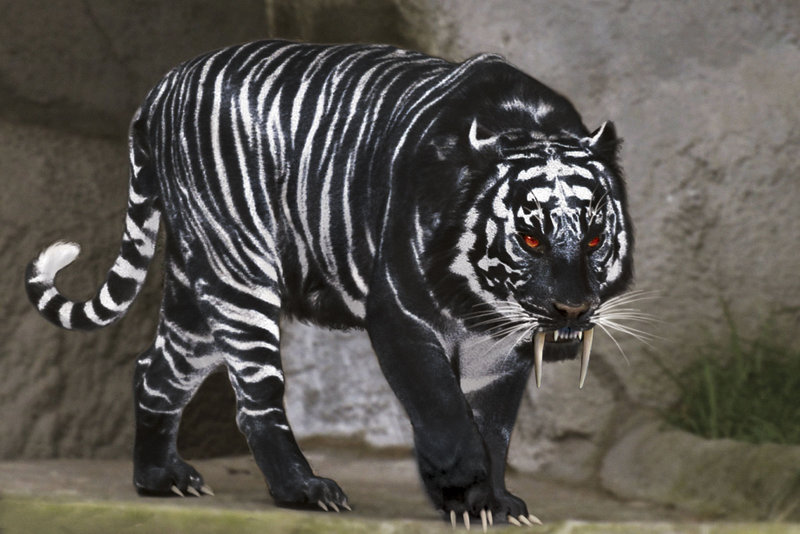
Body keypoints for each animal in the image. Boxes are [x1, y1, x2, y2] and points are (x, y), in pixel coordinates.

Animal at [25, 40, 633, 528]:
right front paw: (463, 495)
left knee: (157, 372)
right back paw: (303, 491)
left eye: (594, 237)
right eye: (530, 239)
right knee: (255, 396)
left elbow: (494, 429)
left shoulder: (501, 348)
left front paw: (495, 502)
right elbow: (445, 413)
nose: (573, 309)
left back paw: (158, 480)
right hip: (238, 272)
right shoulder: (402, 317)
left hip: (195, 293)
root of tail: (161, 87)